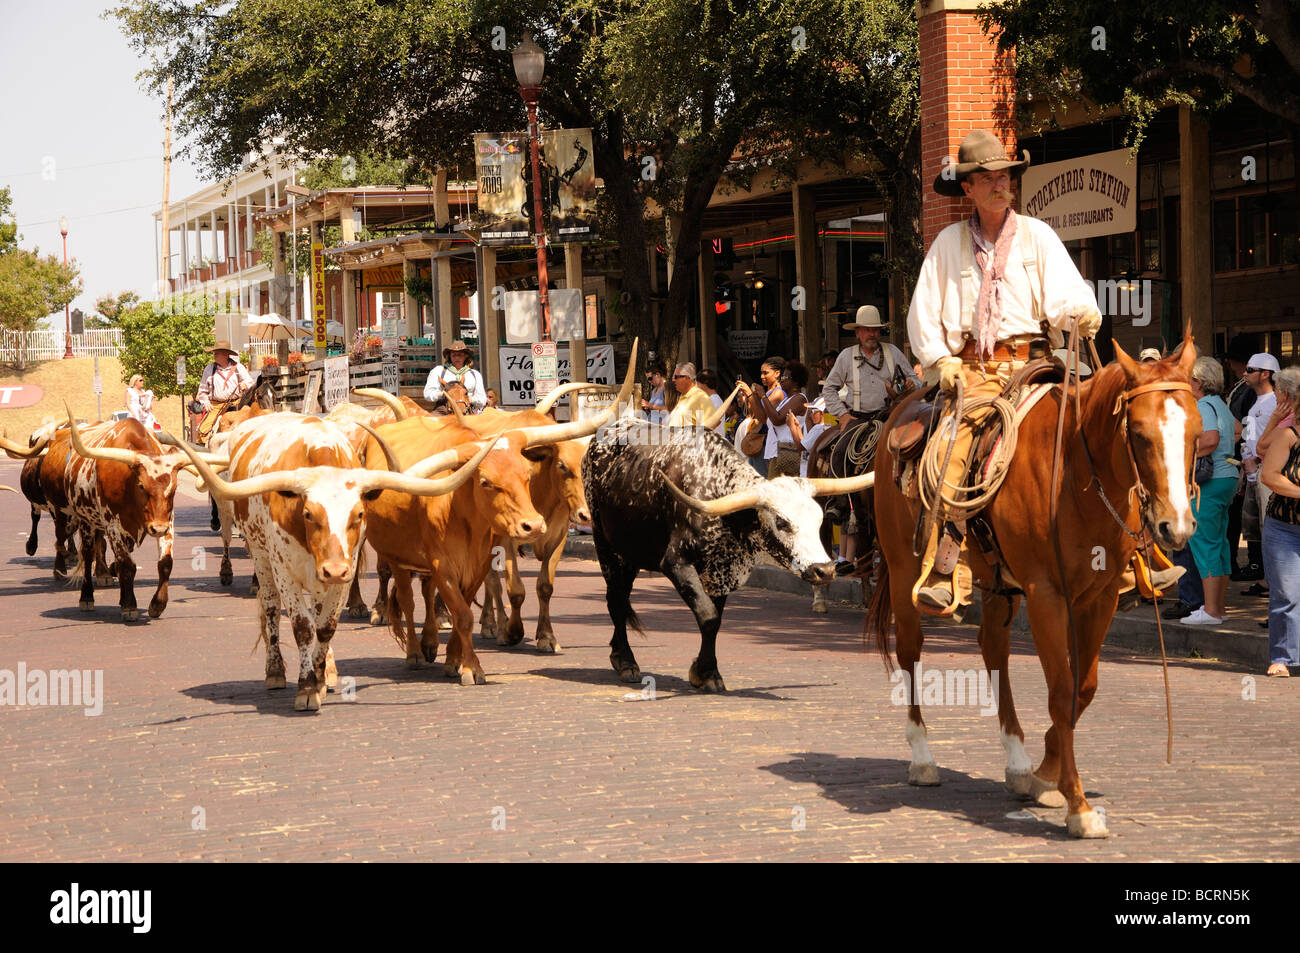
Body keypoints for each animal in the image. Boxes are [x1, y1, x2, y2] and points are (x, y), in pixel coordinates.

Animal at [175, 412, 493, 711]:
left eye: (359, 514)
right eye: (308, 514)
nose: (334, 569)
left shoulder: (344, 575)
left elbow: (325, 626)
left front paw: (318, 680)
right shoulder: (285, 571)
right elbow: (302, 627)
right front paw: (305, 688)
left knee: (317, 614)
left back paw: (326, 672)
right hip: (262, 556)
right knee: (271, 608)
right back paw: (275, 671)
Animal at [582, 418, 874, 691]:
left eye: (818, 518)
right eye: (781, 522)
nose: (824, 570)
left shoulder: (721, 569)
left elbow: (716, 619)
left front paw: (705, 672)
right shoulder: (676, 564)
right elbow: (708, 616)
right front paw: (706, 673)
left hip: (630, 552)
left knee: (621, 599)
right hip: (606, 546)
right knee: (616, 600)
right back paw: (625, 661)